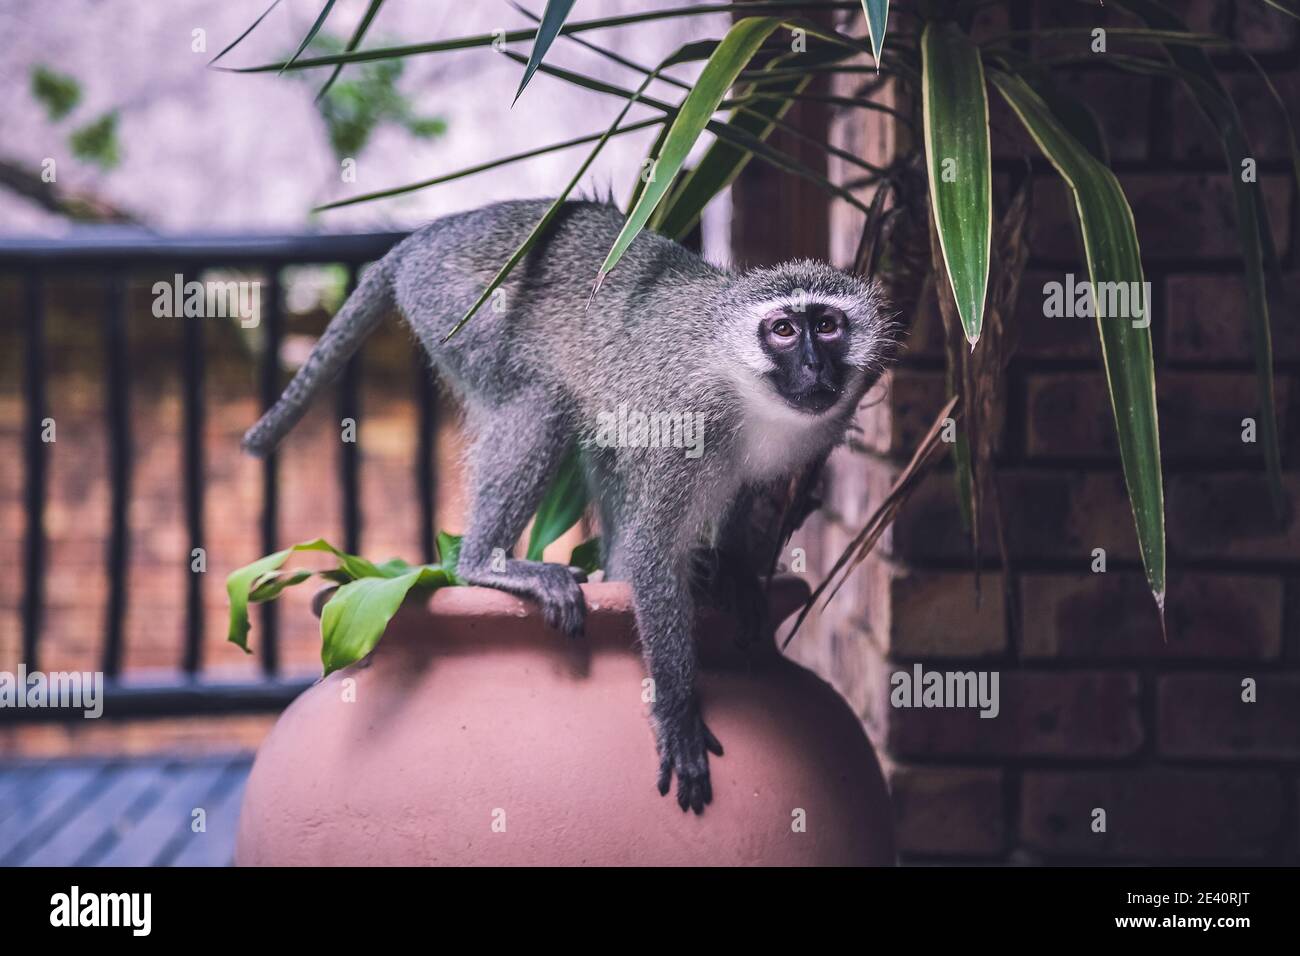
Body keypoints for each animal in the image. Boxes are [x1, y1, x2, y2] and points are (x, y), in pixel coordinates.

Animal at [242, 198, 896, 814]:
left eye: (828, 326)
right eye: (783, 330)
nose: (812, 364)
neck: (750, 392)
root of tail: (430, 235)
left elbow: (744, 498)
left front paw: (735, 574)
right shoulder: (687, 418)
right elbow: (653, 553)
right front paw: (678, 709)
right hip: (455, 305)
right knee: (545, 400)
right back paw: (484, 564)